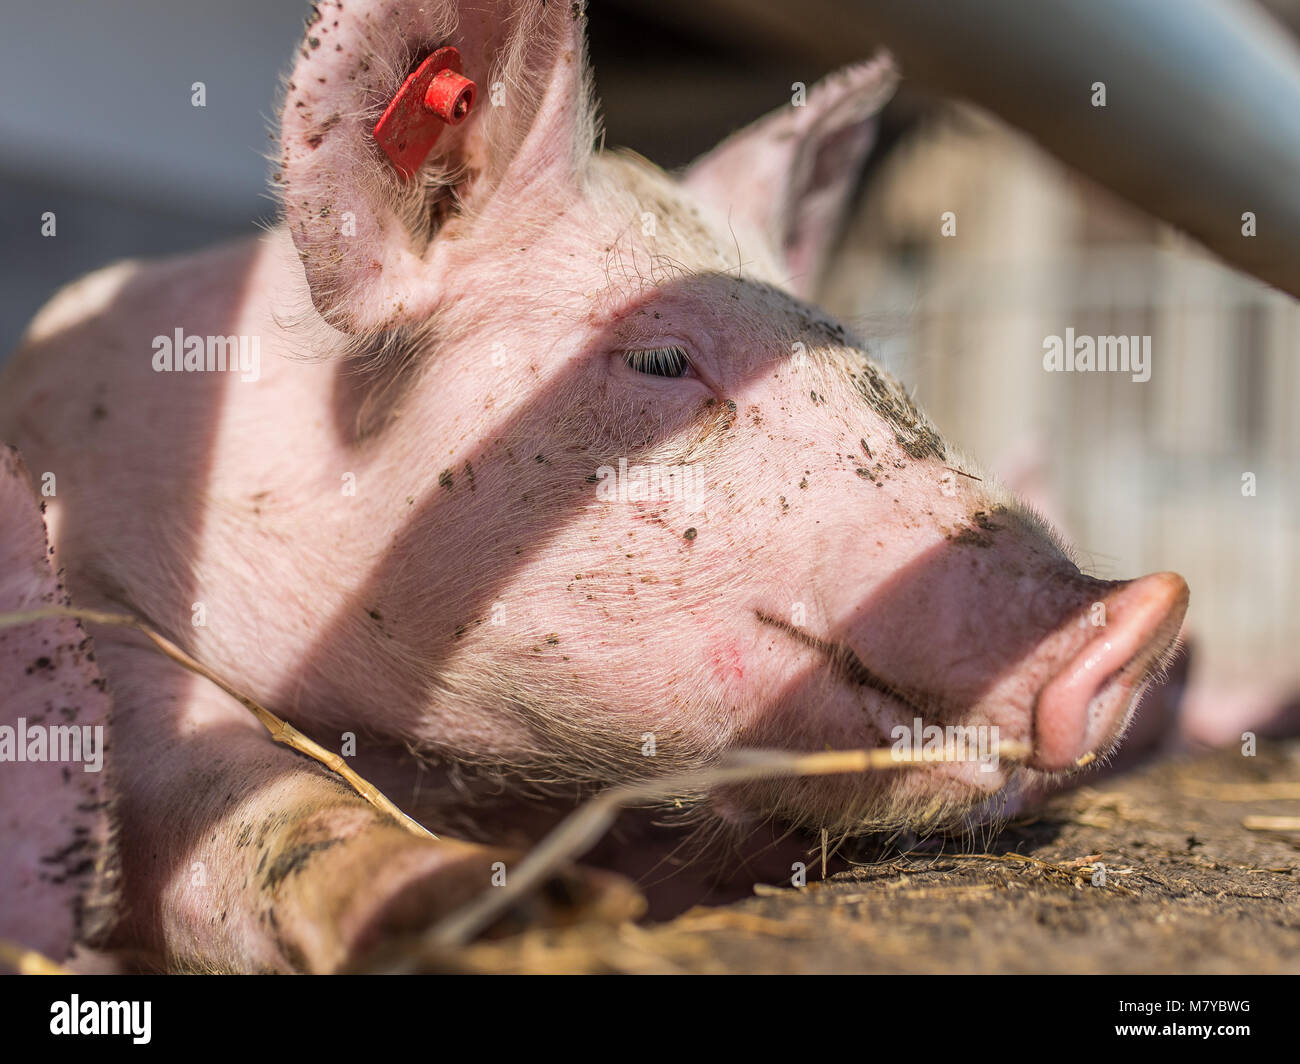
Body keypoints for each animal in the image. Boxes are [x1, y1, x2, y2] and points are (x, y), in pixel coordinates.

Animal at [0, 0, 1188, 973]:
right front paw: (471, 901)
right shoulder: (95, 588)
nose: (1146, 613)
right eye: (660, 360)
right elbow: (211, 788)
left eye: (859, 356)